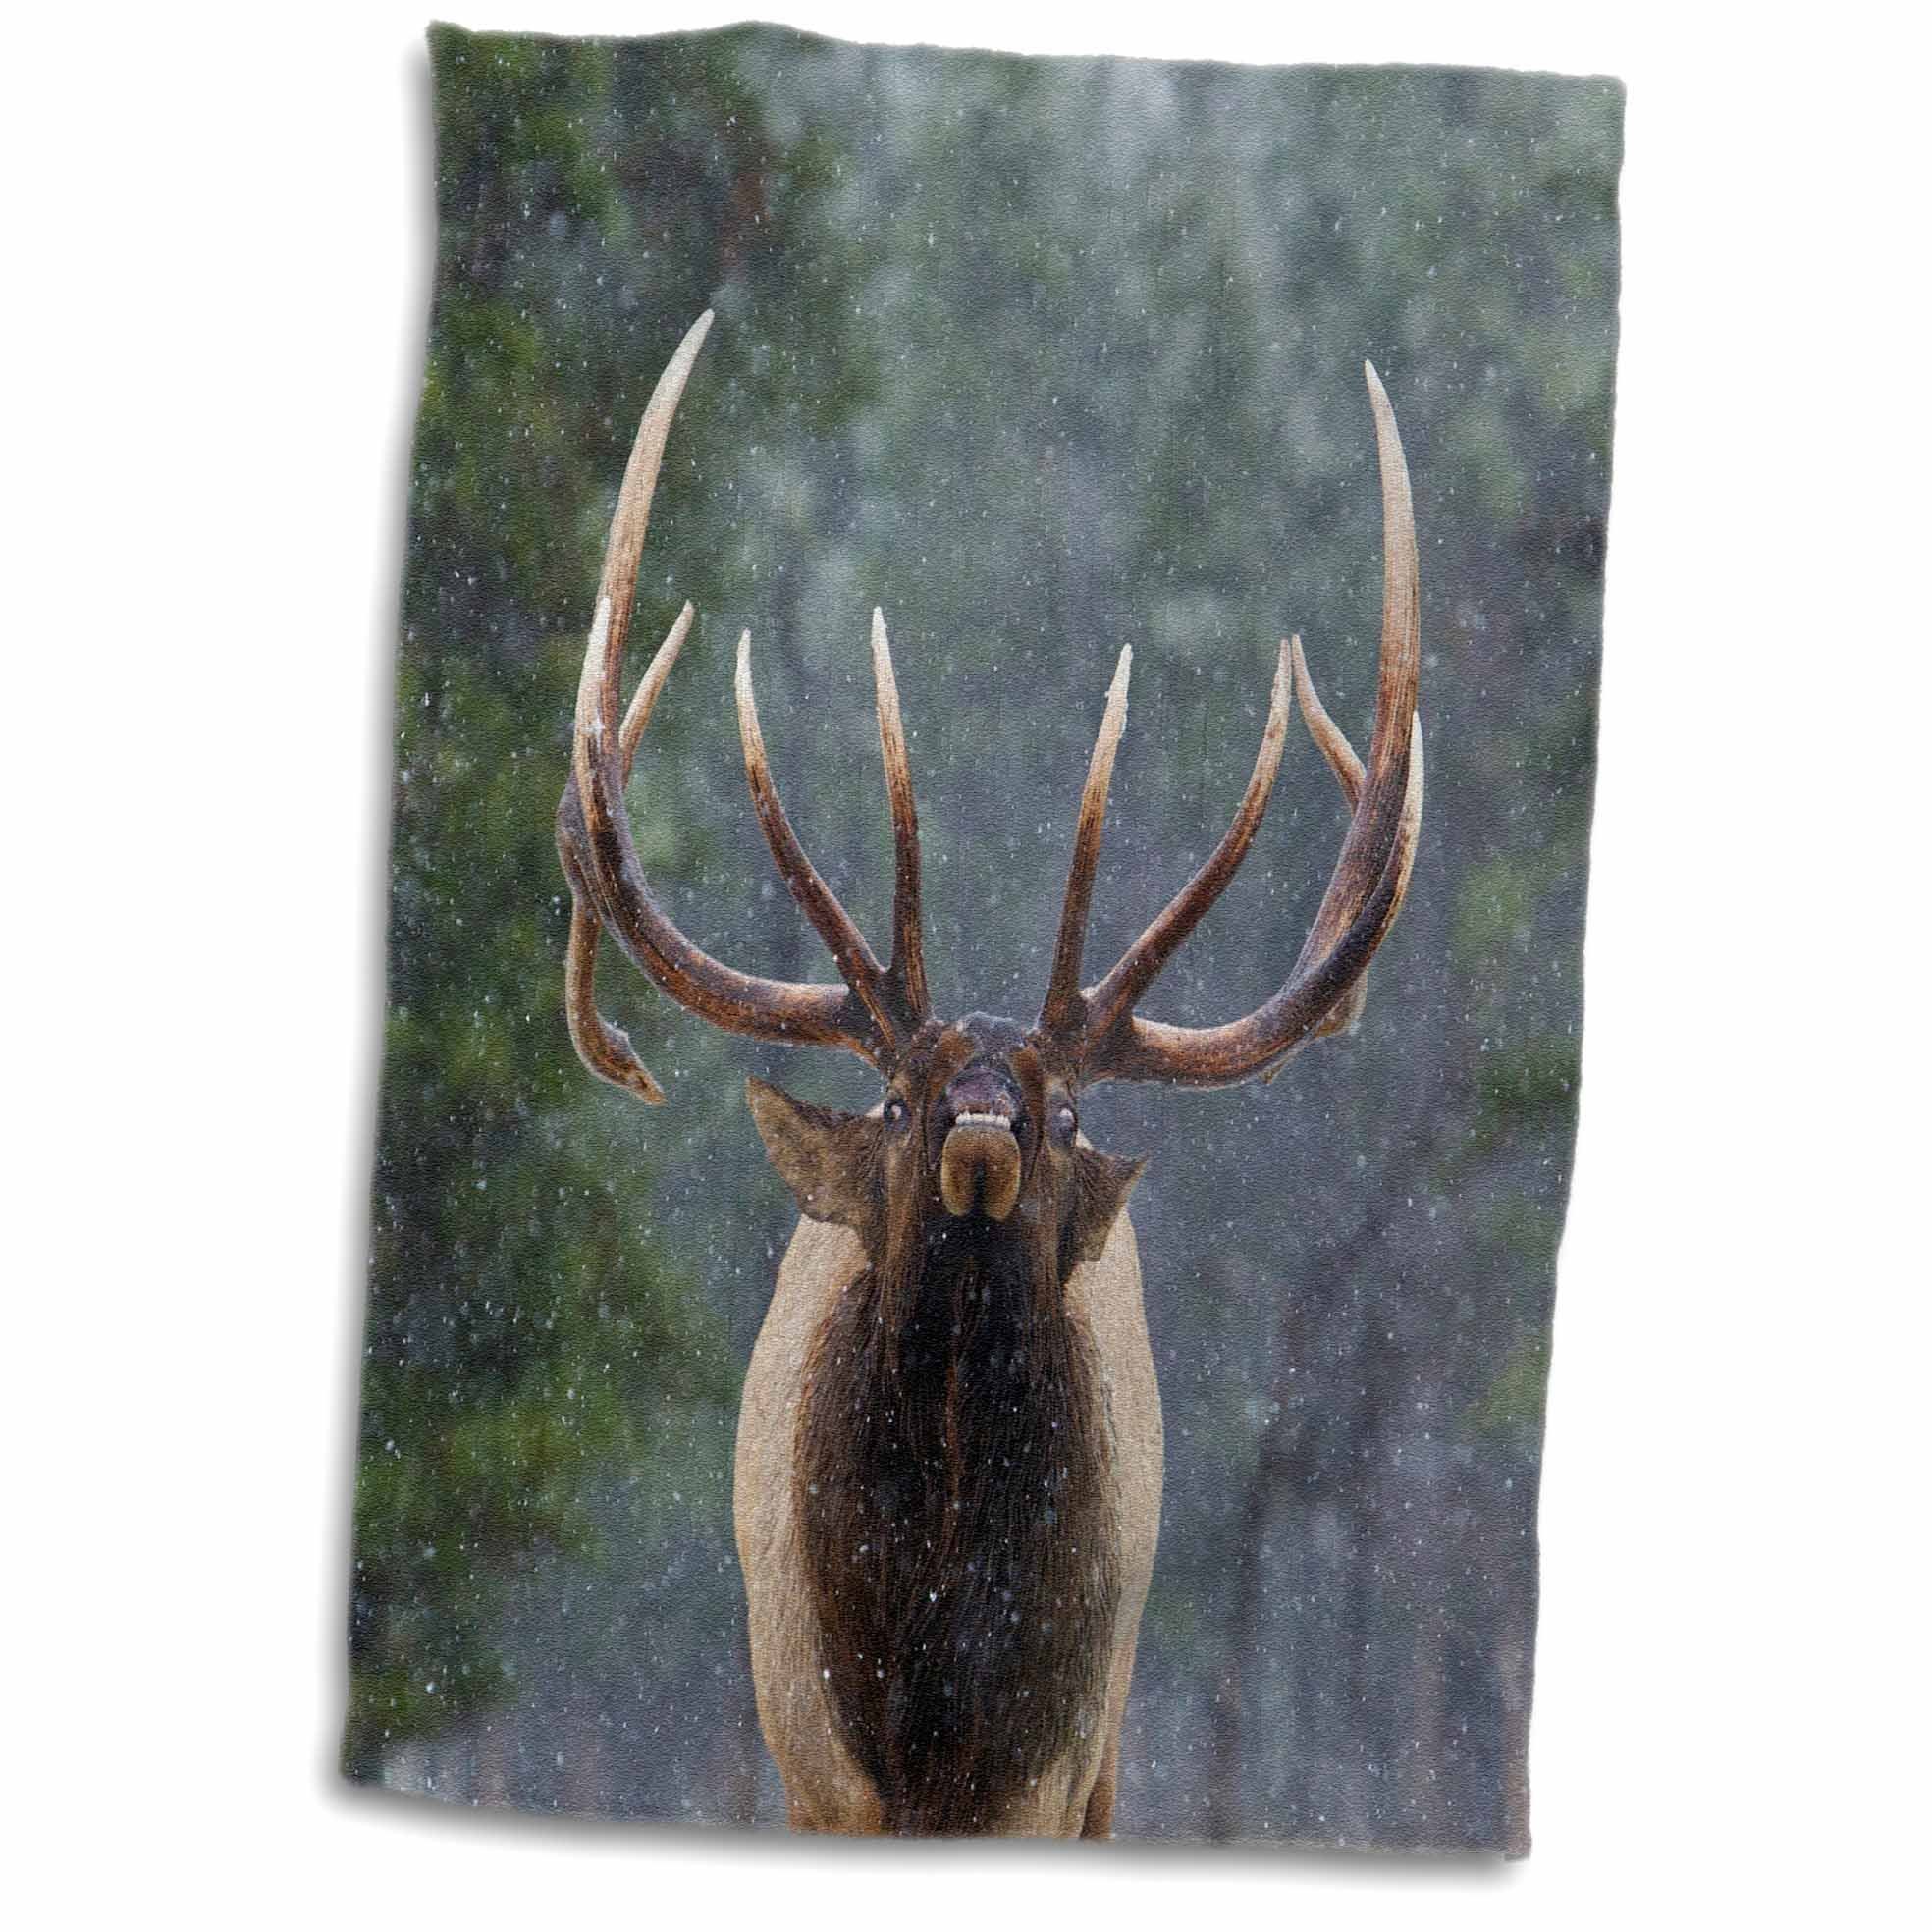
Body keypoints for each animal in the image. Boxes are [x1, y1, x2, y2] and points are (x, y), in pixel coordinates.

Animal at [556, 311, 1422, 1837]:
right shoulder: (815, 1759)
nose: (979, 1125)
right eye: (899, 1098)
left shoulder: (1057, 1764)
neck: (938, 1676)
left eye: (1065, 1109)